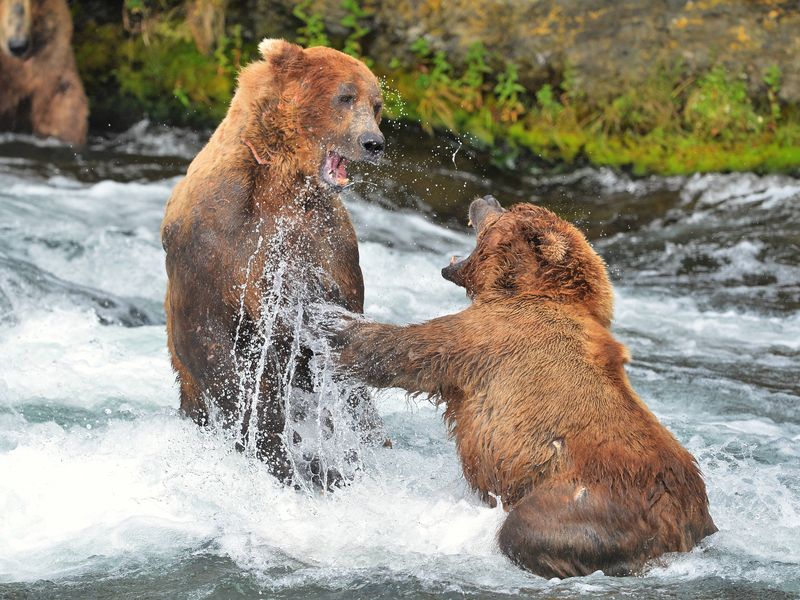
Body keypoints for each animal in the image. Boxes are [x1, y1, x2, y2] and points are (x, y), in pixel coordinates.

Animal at [161, 39, 386, 487]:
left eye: (377, 104)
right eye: (345, 96)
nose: (374, 142)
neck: (280, 184)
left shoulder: (324, 244)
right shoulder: (213, 244)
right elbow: (210, 341)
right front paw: (269, 444)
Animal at [331, 195, 717, 577]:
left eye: (508, 211)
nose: (485, 198)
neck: (530, 289)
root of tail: (682, 521)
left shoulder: (491, 335)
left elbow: (401, 350)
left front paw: (336, 325)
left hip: (586, 498)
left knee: (526, 529)